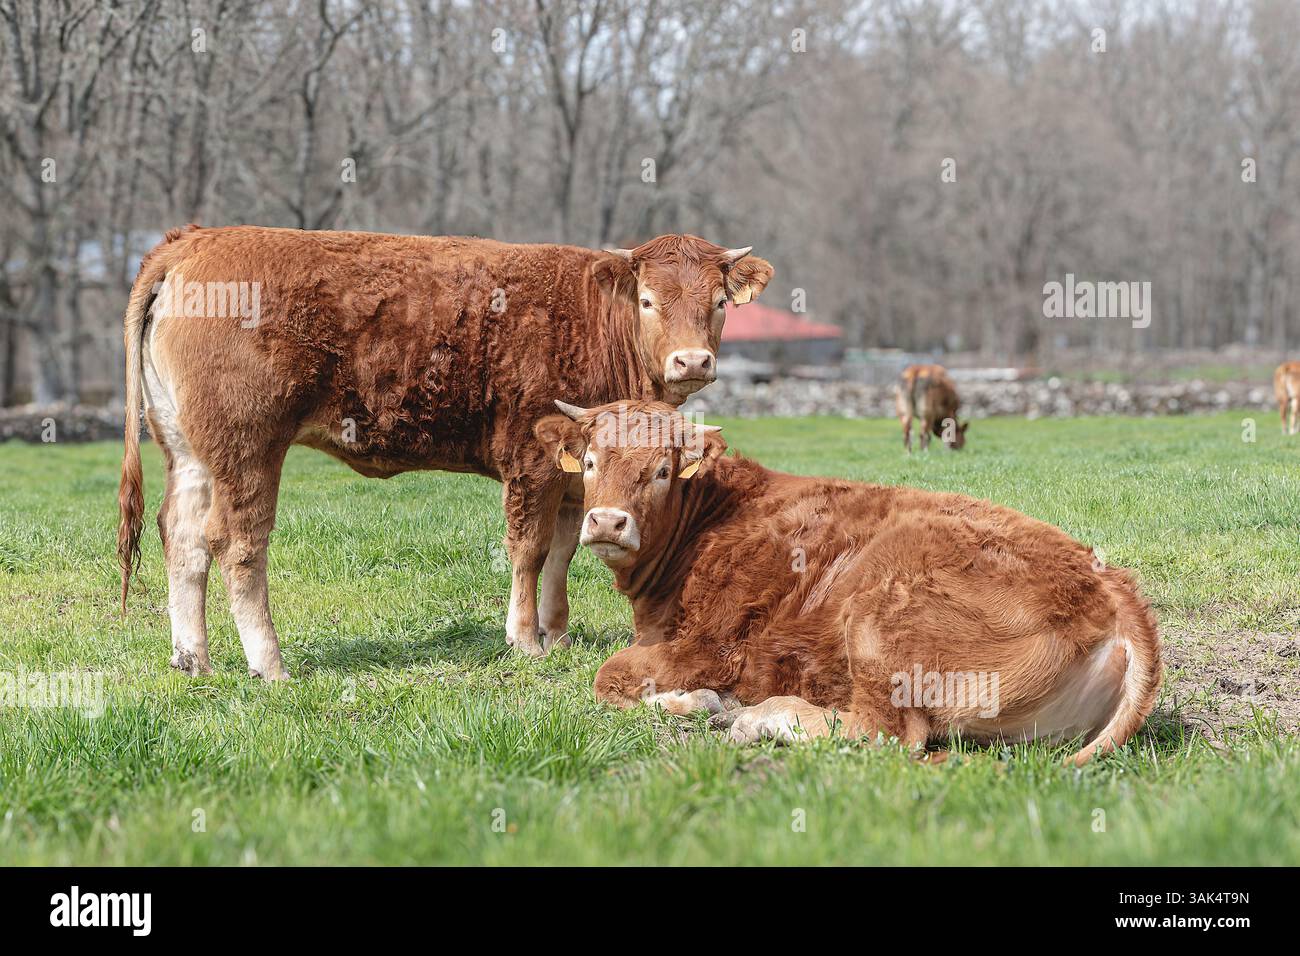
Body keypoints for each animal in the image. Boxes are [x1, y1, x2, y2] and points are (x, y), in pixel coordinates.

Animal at [117, 226, 773, 678]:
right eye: (647, 301)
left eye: (718, 302)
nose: (692, 360)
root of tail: (194, 240)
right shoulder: (530, 457)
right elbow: (530, 549)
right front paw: (525, 640)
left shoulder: (575, 472)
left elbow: (564, 550)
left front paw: (557, 635)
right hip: (248, 447)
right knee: (237, 543)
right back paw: (269, 664)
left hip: (189, 450)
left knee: (182, 535)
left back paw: (194, 660)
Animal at [533, 399, 1162, 766]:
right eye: (589, 462)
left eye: (661, 470)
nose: (607, 521)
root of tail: (1111, 585)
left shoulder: (712, 646)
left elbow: (611, 675)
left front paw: (695, 701)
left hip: (882, 613)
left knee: (885, 732)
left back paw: (753, 717)